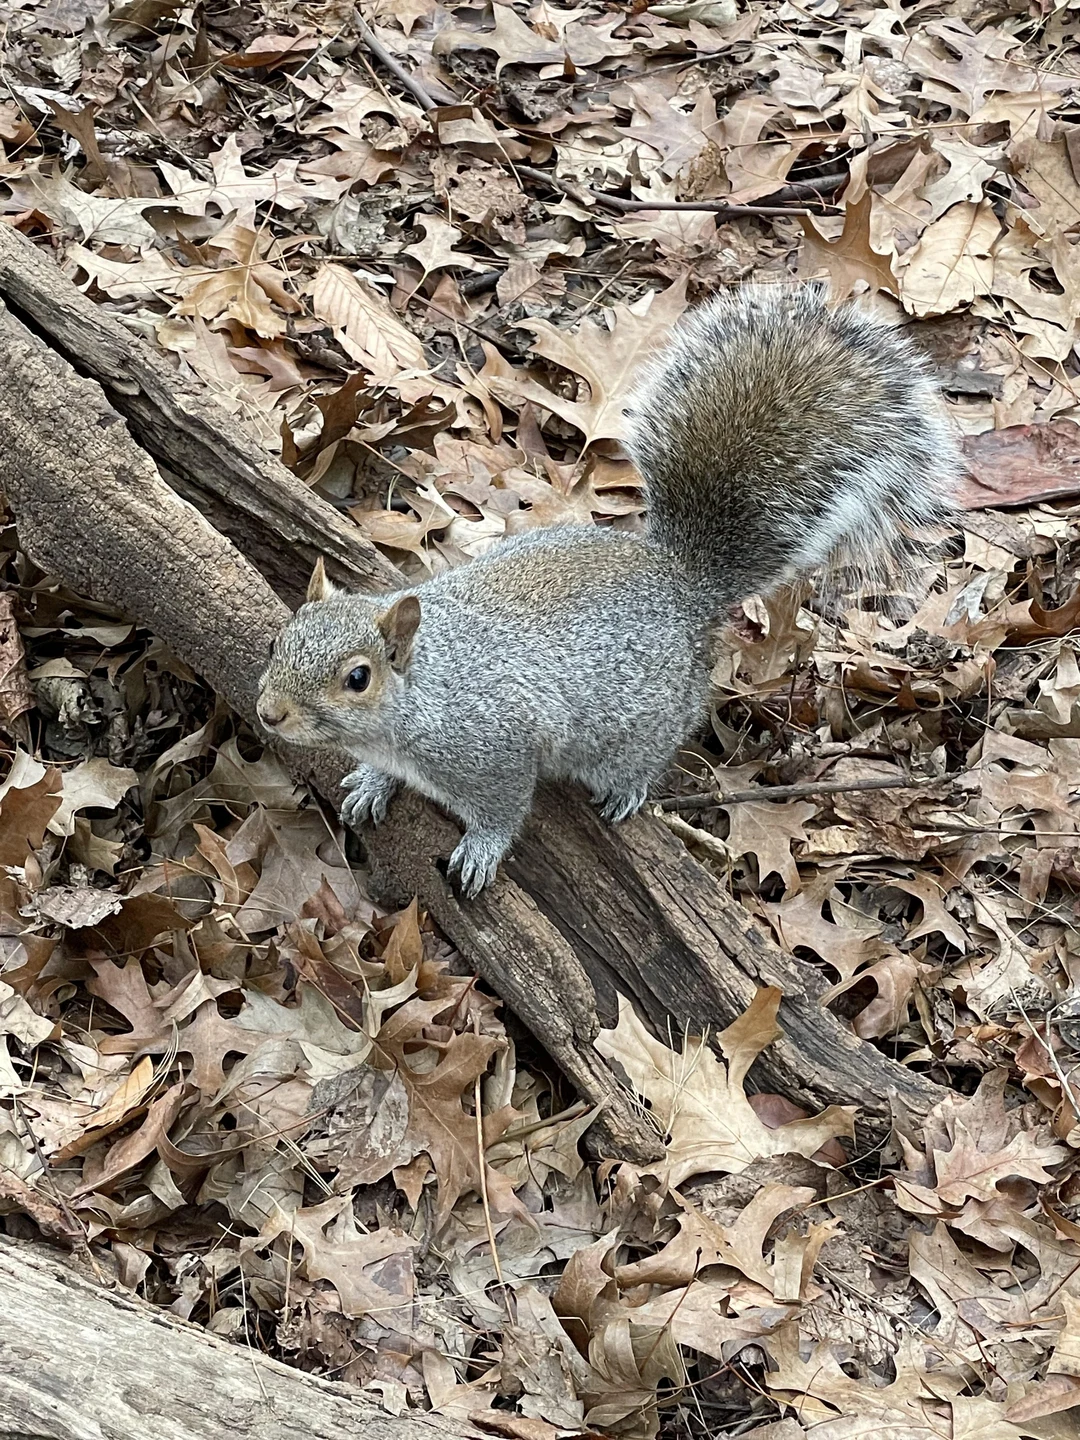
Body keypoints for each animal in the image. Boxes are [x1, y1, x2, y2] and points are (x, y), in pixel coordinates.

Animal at [257, 284, 961, 897]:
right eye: (277, 642)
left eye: (357, 678)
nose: (269, 713)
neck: (425, 690)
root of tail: (681, 582)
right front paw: (372, 784)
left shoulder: (497, 751)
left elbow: (505, 811)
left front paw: (481, 851)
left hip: (641, 727)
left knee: (645, 756)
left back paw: (627, 790)